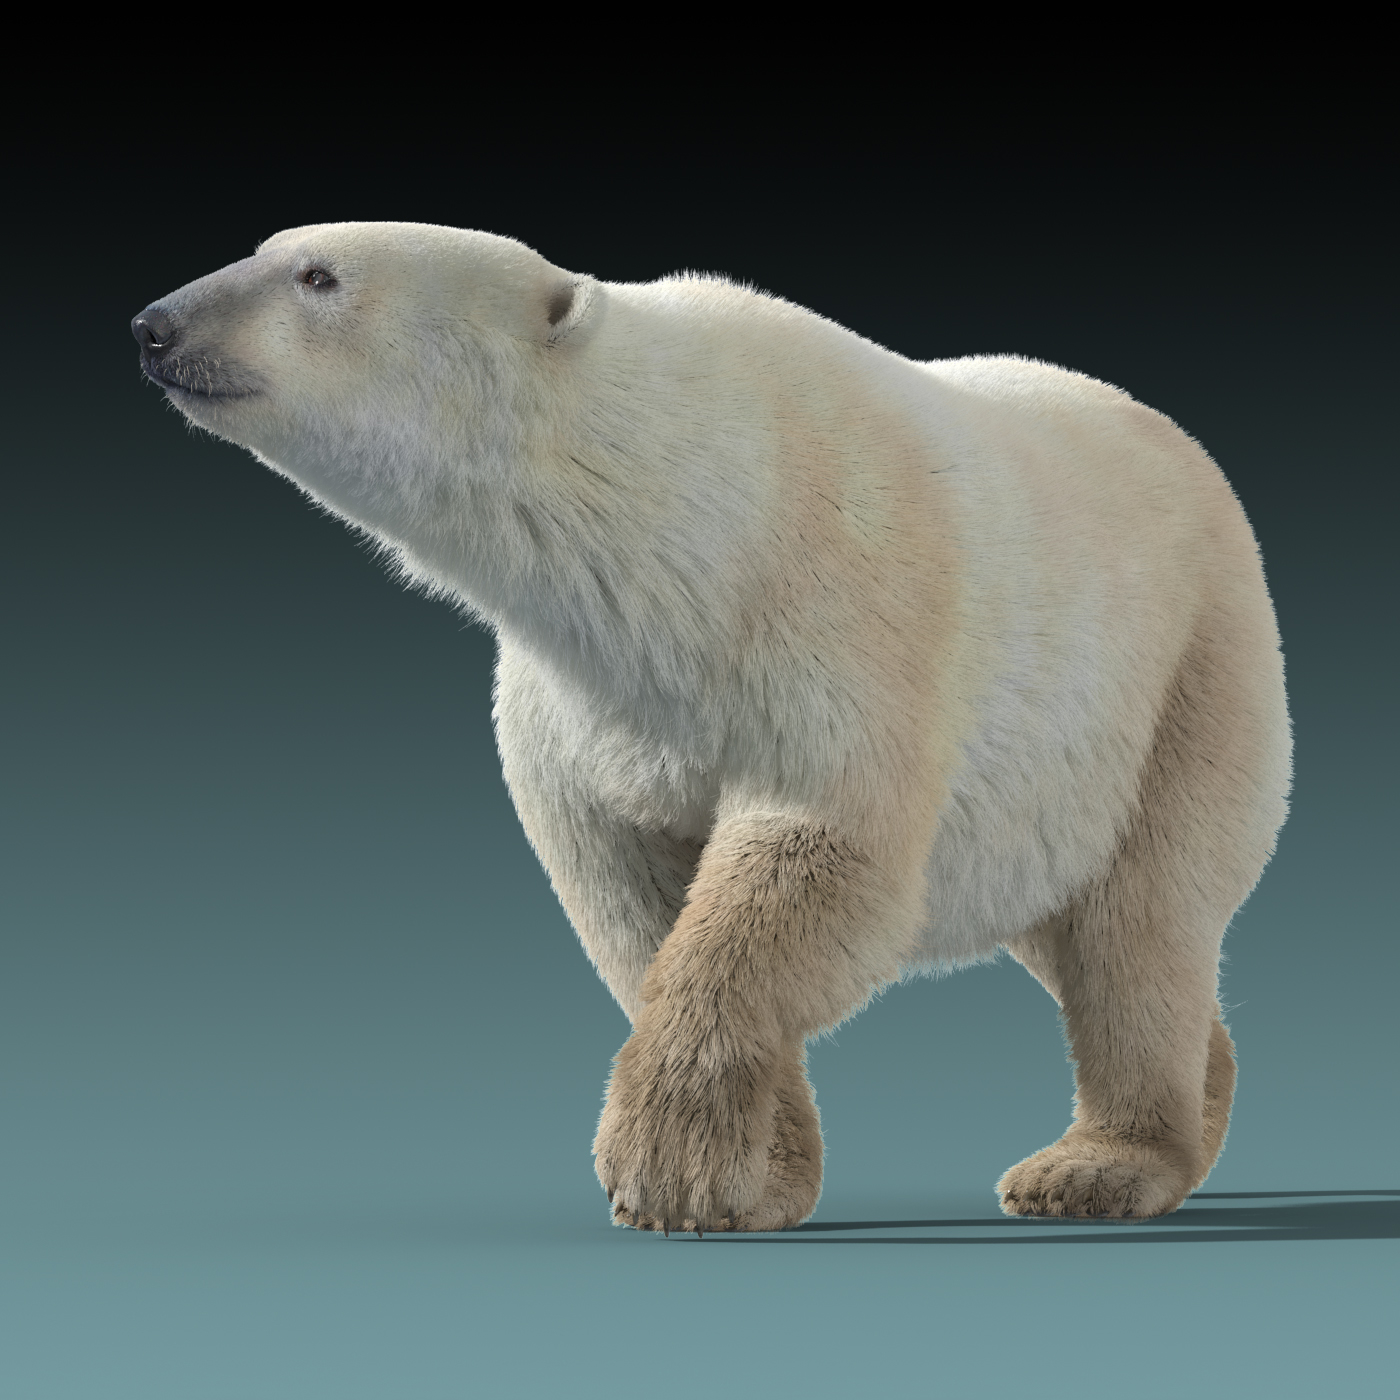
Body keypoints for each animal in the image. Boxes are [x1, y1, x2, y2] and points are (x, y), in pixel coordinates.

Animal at [132, 221, 1291, 1232]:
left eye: (316, 274)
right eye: (270, 248)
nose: (153, 325)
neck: (673, 520)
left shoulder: (832, 602)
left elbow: (812, 847)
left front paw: (667, 1172)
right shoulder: (582, 699)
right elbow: (630, 887)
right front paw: (762, 1175)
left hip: (1184, 676)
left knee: (1138, 917)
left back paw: (1097, 1165)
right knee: (1074, 922)